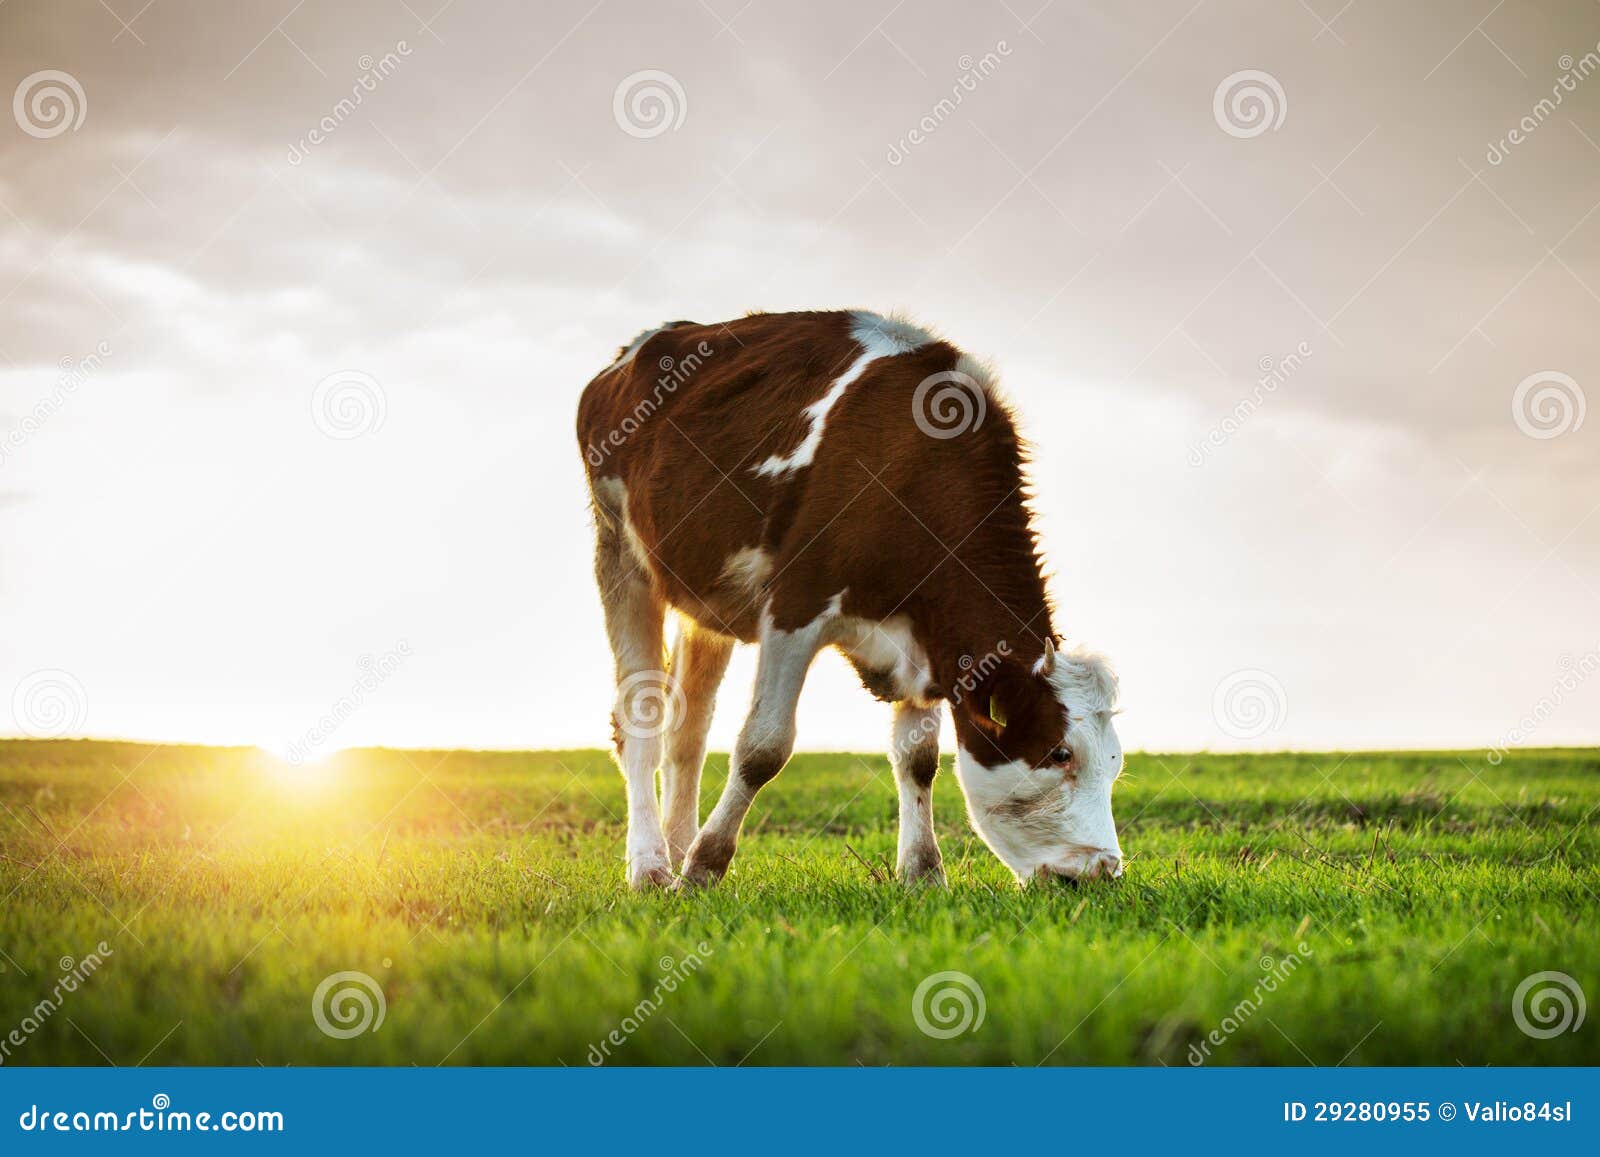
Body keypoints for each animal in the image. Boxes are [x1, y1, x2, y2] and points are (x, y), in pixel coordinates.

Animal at [576, 309, 1123, 890]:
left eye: (1115, 762)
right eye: (1060, 752)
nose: (1103, 869)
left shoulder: (928, 634)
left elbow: (918, 758)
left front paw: (923, 874)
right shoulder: (796, 604)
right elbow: (762, 749)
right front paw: (706, 866)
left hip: (705, 602)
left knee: (689, 729)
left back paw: (677, 849)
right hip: (619, 554)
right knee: (641, 719)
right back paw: (652, 866)